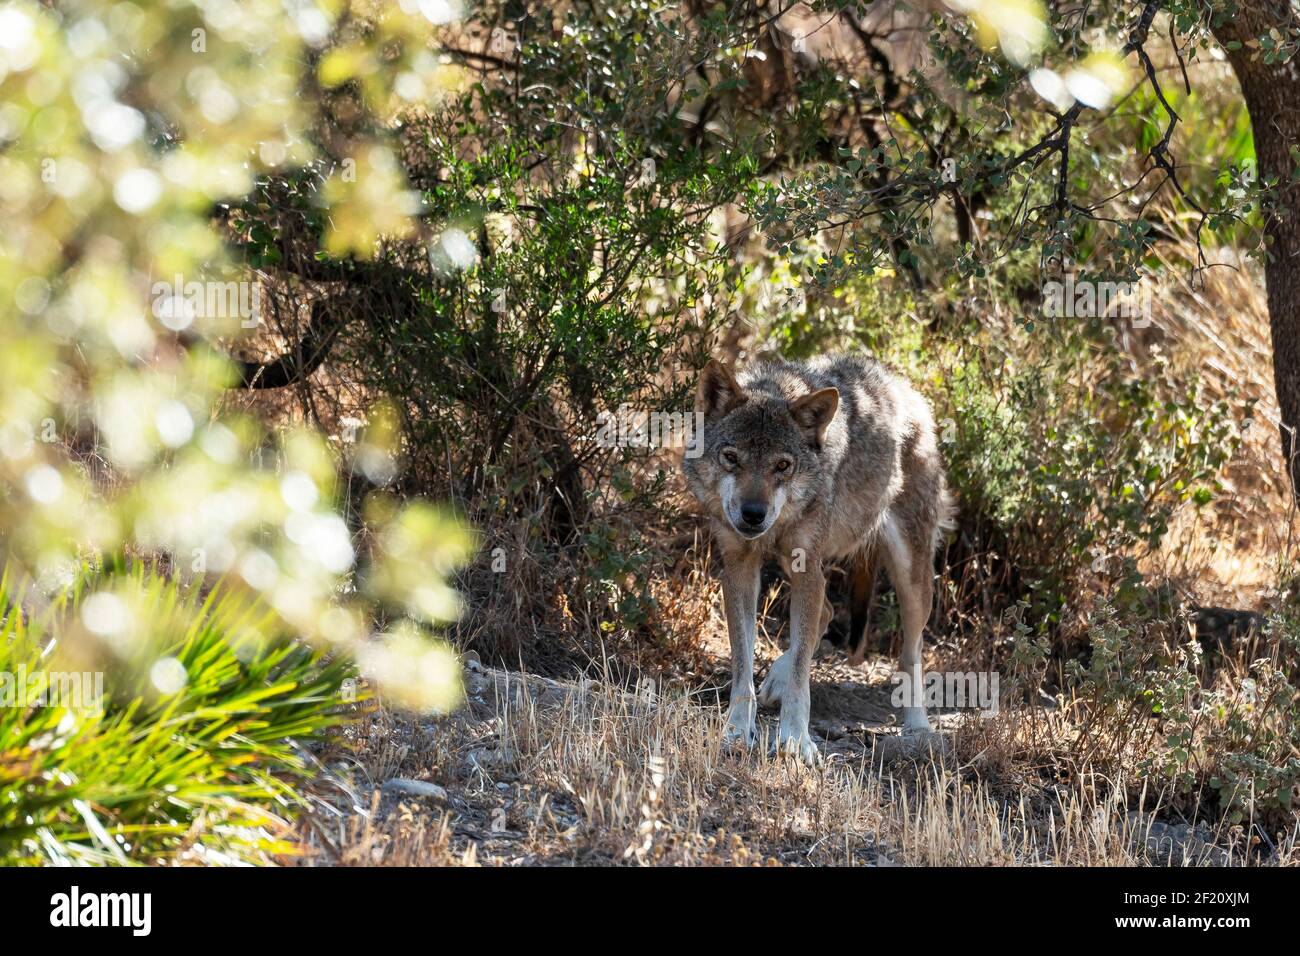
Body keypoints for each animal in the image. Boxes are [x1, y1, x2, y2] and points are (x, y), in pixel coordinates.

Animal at [683, 352, 953, 763]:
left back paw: (918, 728)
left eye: (783, 465)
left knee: (912, 652)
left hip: (912, 577)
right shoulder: (739, 568)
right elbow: (743, 664)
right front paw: (736, 731)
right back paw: (776, 680)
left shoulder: (806, 568)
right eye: (731, 458)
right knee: (824, 613)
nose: (752, 514)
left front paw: (795, 739)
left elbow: (800, 674)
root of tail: (906, 388)